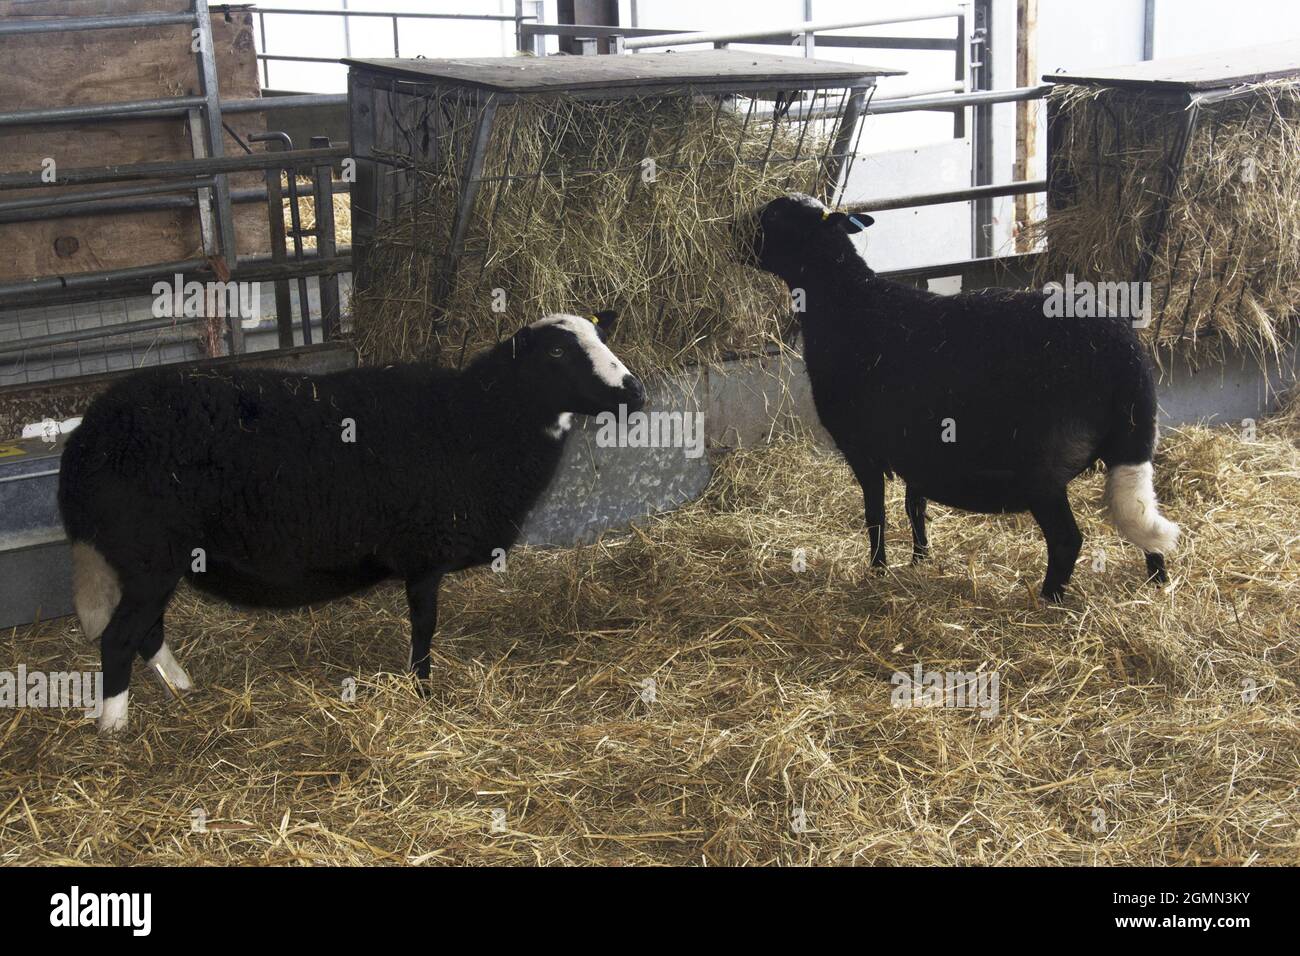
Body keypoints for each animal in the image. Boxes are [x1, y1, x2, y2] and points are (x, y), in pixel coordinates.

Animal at [58, 311, 645, 734]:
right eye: (556, 351)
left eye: (603, 335)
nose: (635, 392)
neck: (483, 420)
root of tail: (89, 435)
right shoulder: (424, 552)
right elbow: (424, 627)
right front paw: (423, 690)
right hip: (150, 553)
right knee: (119, 637)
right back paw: (115, 725)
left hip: (153, 560)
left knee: (147, 631)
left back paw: (180, 686)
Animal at [742, 193, 1179, 602]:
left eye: (775, 216)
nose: (736, 235)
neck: (845, 300)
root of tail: (1128, 358)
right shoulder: (916, 446)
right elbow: (914, 505)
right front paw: (919, 560)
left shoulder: (862, 447)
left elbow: (875, 514)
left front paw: (878, 570)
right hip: (1128, 446)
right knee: (1143, 520)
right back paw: (1157, 583)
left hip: (1043, 467)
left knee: (1067, 539)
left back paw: (1048, 599)